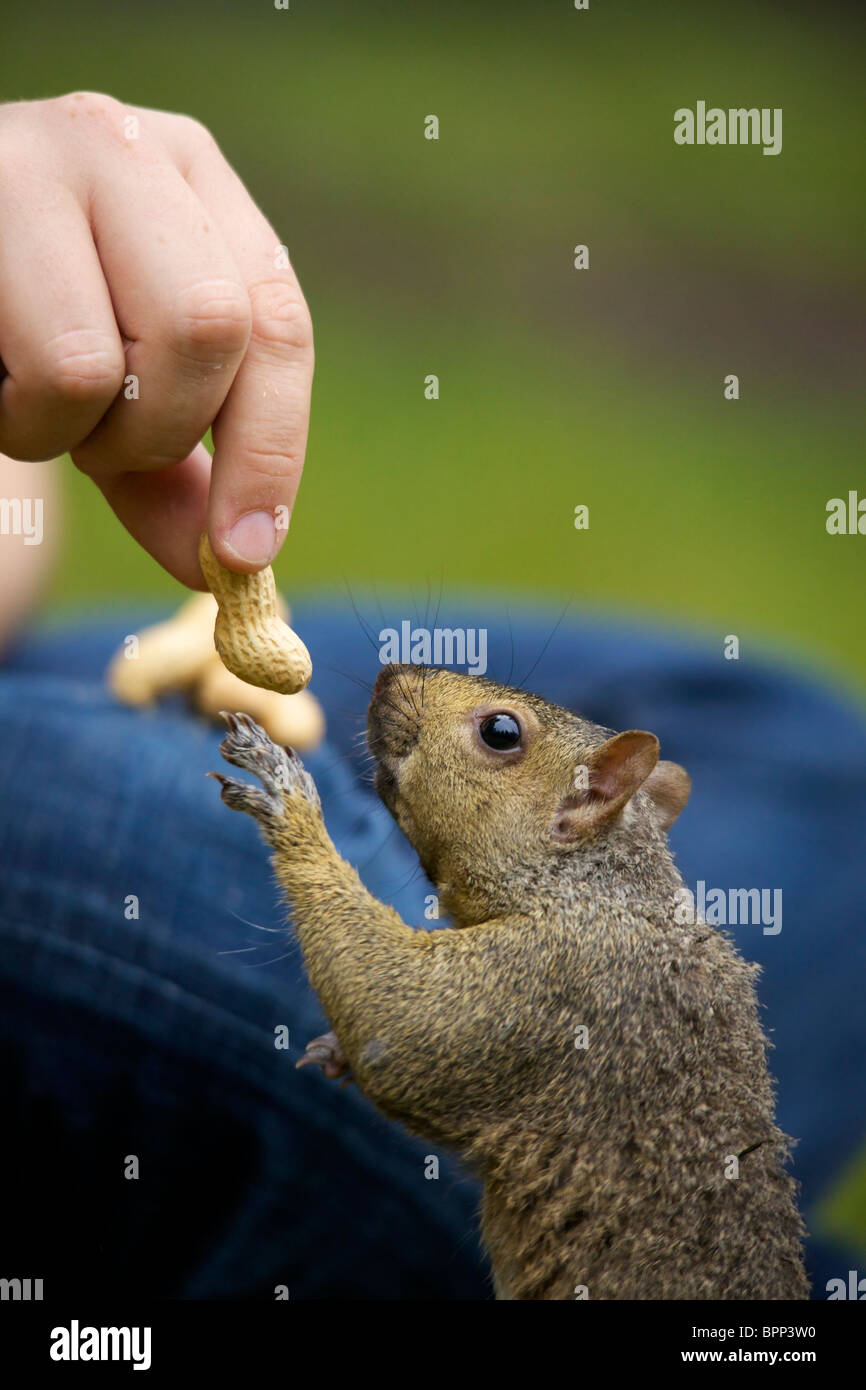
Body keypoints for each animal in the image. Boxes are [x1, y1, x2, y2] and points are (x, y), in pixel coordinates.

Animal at [212, 663, 809, 1301]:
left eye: (501, 733)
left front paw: (286, 798)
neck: (587, 888)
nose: (387, 674)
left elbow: (393, 1019)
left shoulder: (554, 984)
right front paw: (332, 1052)